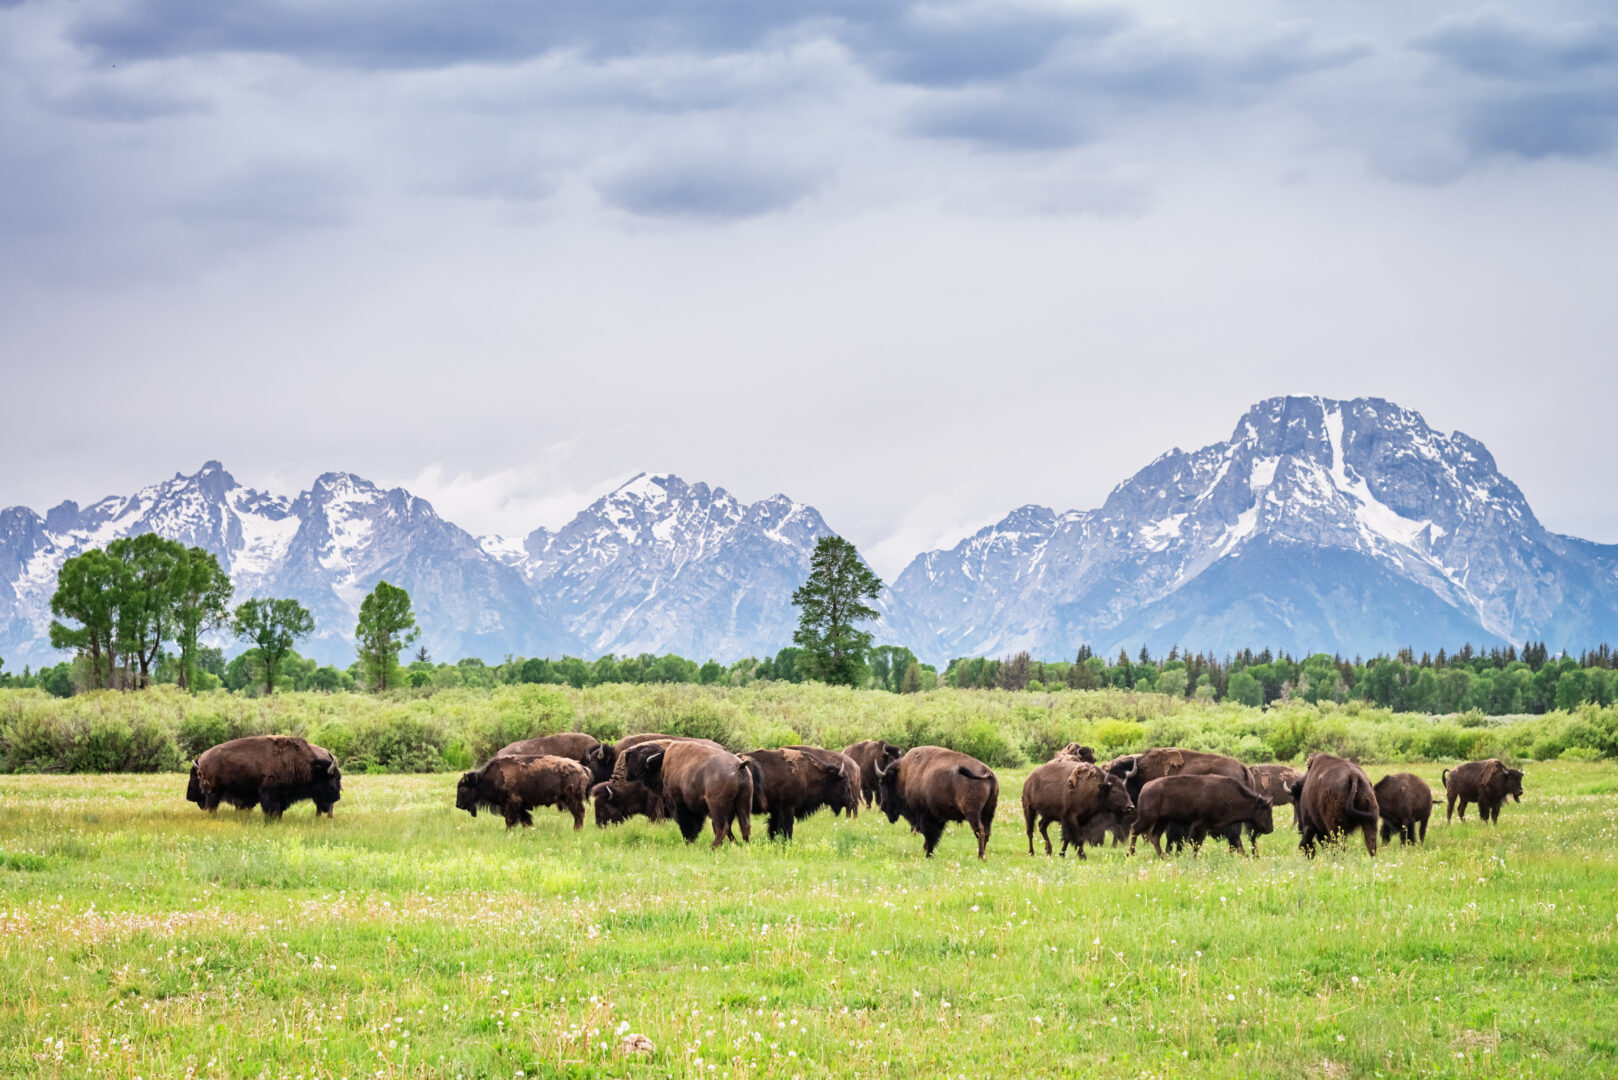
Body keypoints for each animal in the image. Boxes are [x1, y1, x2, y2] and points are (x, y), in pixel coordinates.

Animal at [186, 735, 341, 820]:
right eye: (333, 779)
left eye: (337, 778)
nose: (338, 796)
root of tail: (203, 760)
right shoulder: (270, 794)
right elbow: (272, 809)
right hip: (214, 791)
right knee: (212, 806)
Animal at [457, 755, 591, 829]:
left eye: (463, 788)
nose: (458, 805)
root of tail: (581, 768)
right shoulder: (519, 807)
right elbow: (525, 820)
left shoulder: (511, 803)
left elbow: (510, 820)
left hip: (571, 799)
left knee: (579, 813)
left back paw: (576, 831)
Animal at [621, 741, 758, 848]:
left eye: (643, 752)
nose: (628, 752)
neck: (662, 762)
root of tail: (739, 766)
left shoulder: (680, 806)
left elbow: (688, 826)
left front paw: (688, 842)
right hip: (744, 802)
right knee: (744, 826)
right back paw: (743, 846)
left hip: (717, 805)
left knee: (722, 827)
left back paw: (711, 848)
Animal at [1128, 775, 1273, 858]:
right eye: (1266, 812)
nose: (1270, 829)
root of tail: (1145, 787)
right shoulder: (1199, 824)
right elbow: (1193, 843)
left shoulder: (1207, 827)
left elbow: (1198, 844)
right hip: (1148, 818)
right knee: (1134, 828)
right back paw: (1130, 854)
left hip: (1162, 820)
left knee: (1154, 836)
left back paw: (1162, 857)